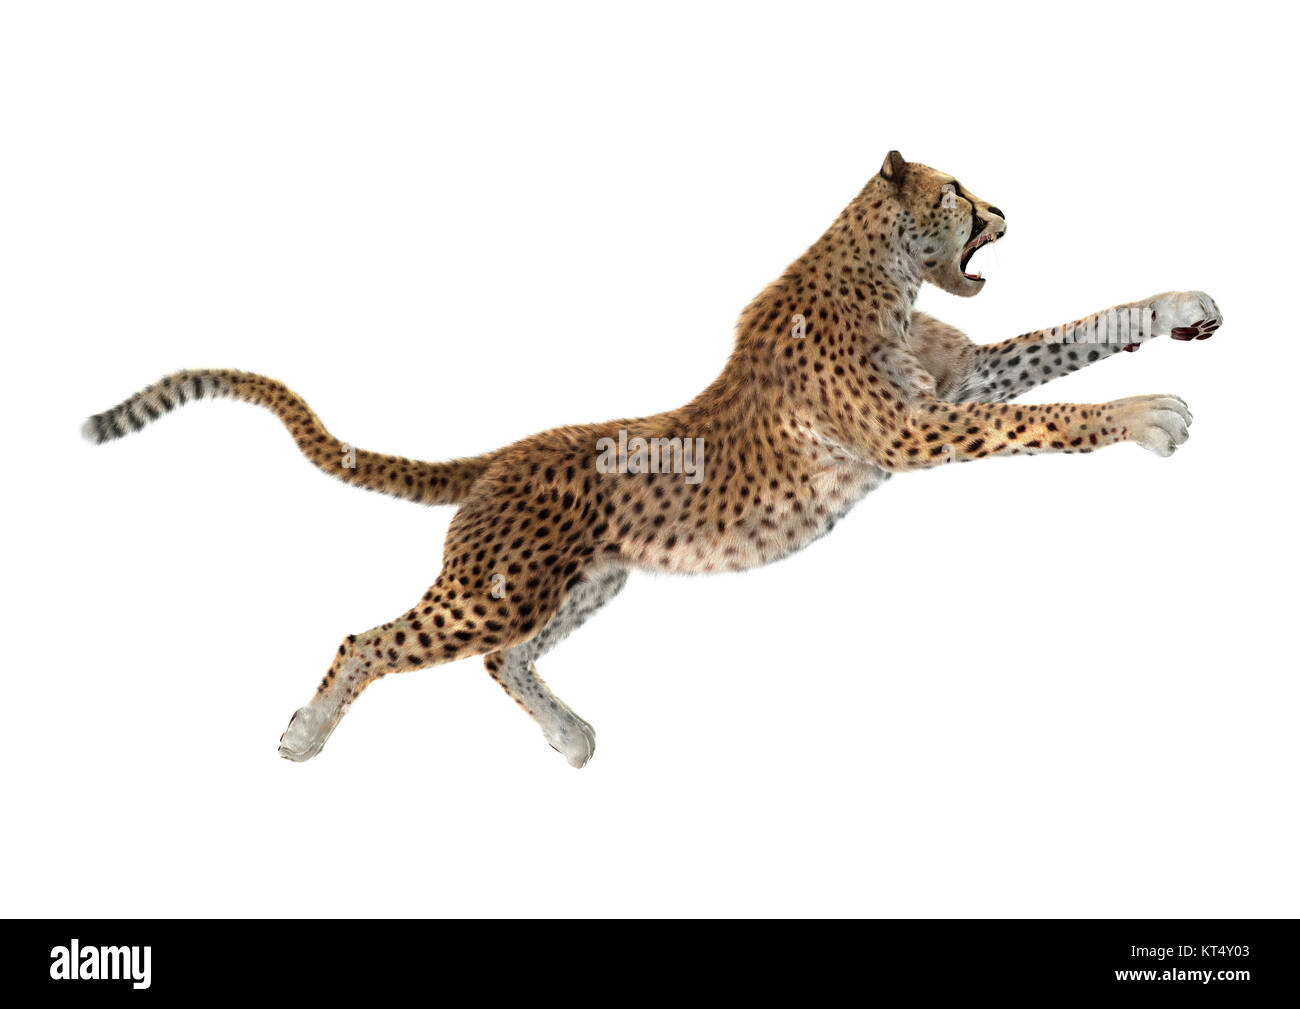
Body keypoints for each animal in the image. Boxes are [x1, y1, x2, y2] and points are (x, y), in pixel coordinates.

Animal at [82, 151, 1223, 766]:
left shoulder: (962, 382)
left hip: (584, 583)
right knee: (372, 637)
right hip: (496, 589)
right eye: (960, 188)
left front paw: (1180, 306)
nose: (1004, 210)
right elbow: (1055, 412)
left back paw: (570, 735)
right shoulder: (918, 429)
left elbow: (1074, 334)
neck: (886, 271)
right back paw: (305, 733)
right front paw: (1146, 413)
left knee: (504, 659)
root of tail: (505, 451)